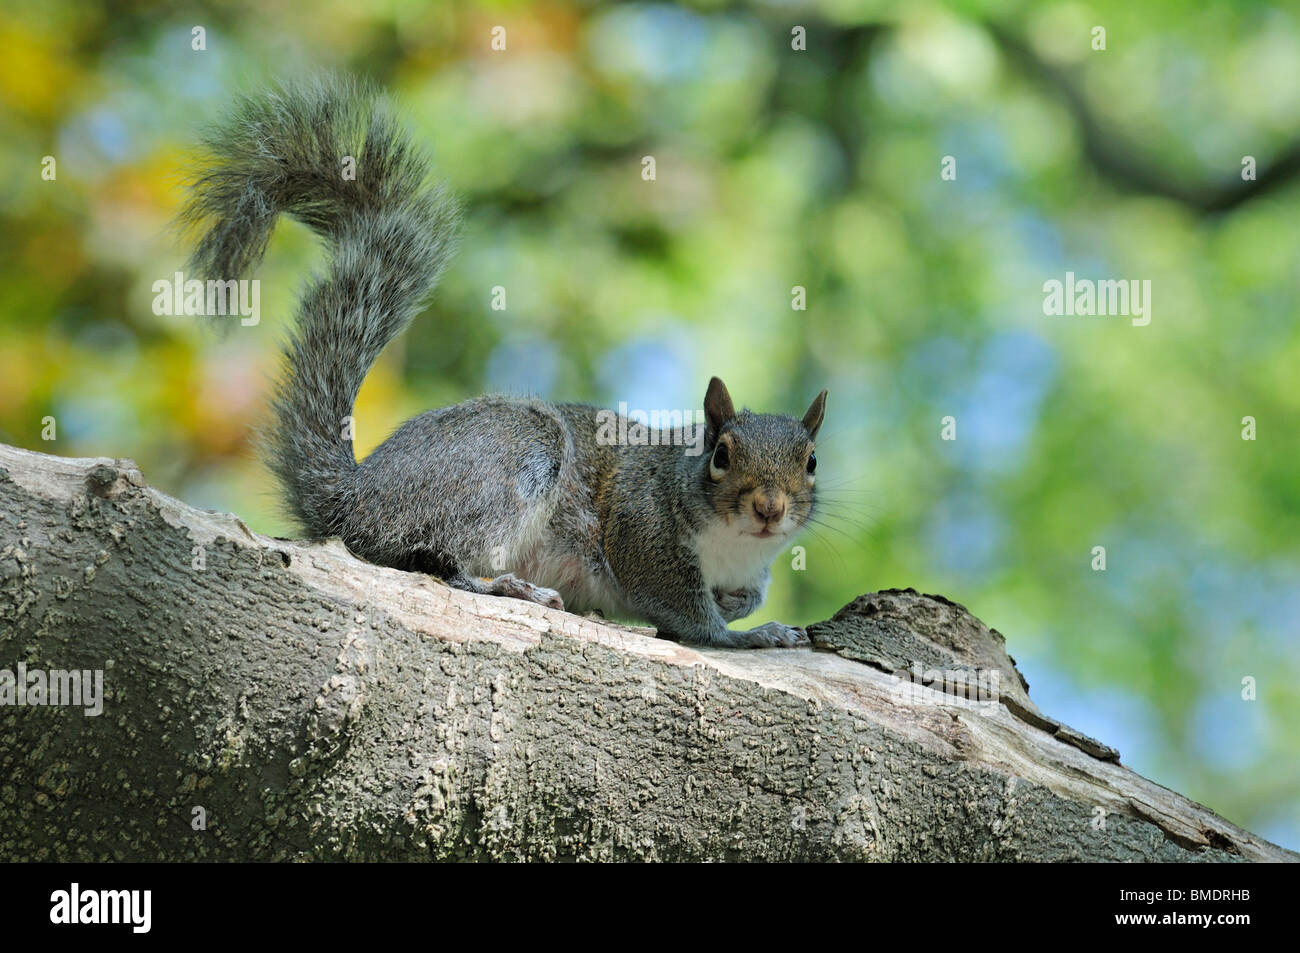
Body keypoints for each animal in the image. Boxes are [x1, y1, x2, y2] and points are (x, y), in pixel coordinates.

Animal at [181, 75, 828, 648]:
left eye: (812, 462)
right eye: (720, 456)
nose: (769, 509)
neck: (735, 544)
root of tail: (354, 498)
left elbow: (749, 592)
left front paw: (746, 605)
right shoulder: (645, 534)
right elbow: (689, 615)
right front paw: (753, 634)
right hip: (508, 460)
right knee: (432, 560)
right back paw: (505, 587)